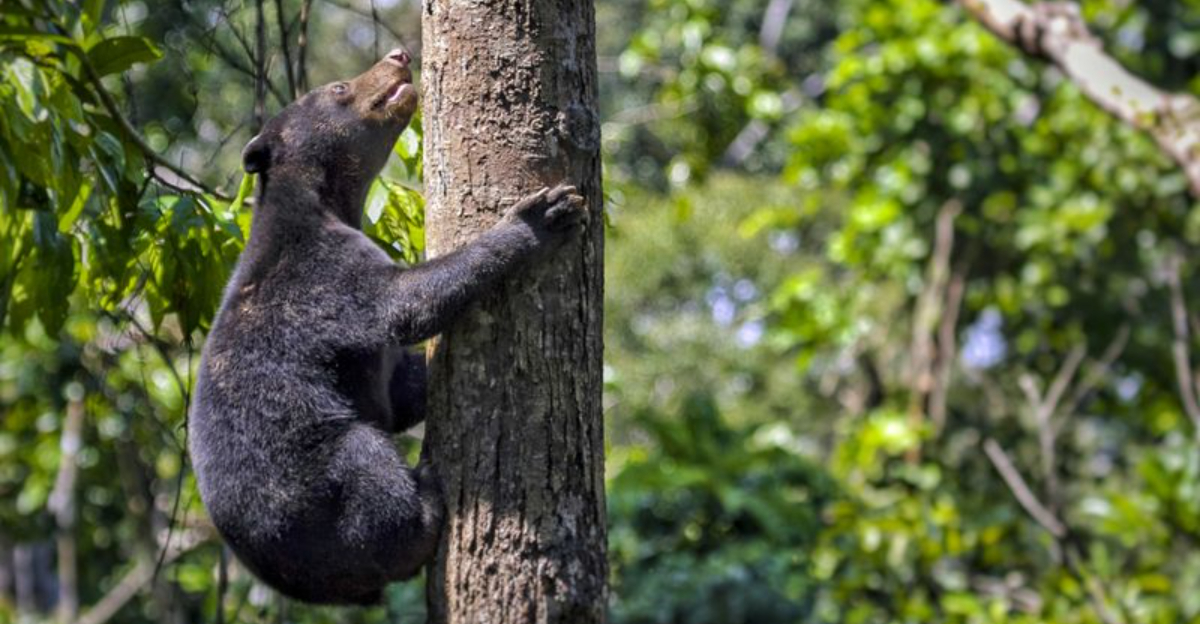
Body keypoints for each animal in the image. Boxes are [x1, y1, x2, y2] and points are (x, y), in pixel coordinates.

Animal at [188, 48, 588, 605]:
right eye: (338, 88)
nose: (398, 55)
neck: (326, 202)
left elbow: (398, 388)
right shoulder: (325, 275)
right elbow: (408, 302)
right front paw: (541, 216)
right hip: (311, 488)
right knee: (368, 467)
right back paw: (427, 502)